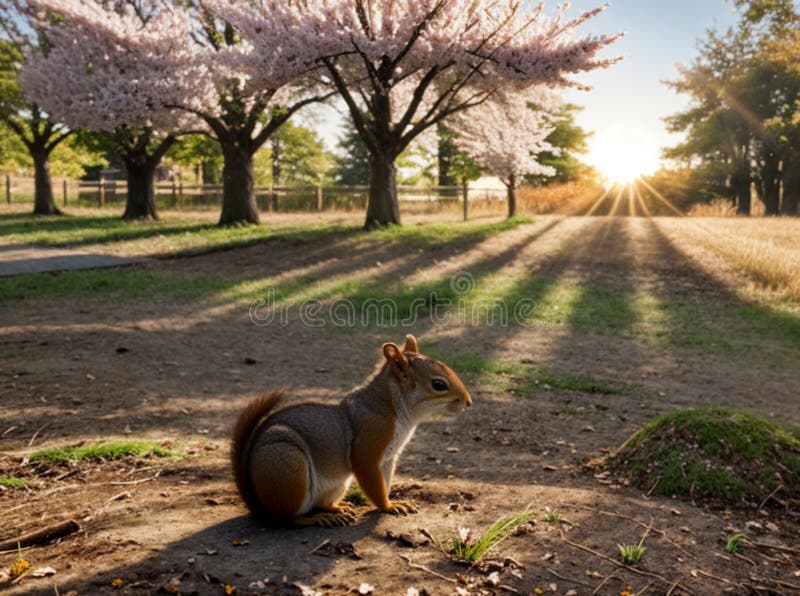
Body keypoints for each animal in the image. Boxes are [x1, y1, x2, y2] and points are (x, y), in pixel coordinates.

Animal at [231, 334, 472, 527]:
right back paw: (317, 519)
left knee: (319, 504)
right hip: (288, 469)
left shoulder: (388, 458)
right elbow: (373, 482)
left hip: (336, 484)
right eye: (439, 384)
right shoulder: (369, 445)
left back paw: (338, 509)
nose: (468, 402)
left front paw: (392, 501)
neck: (391, 406)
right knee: (287, 518)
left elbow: (385, 481)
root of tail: (261, 507)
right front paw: (388, 506)